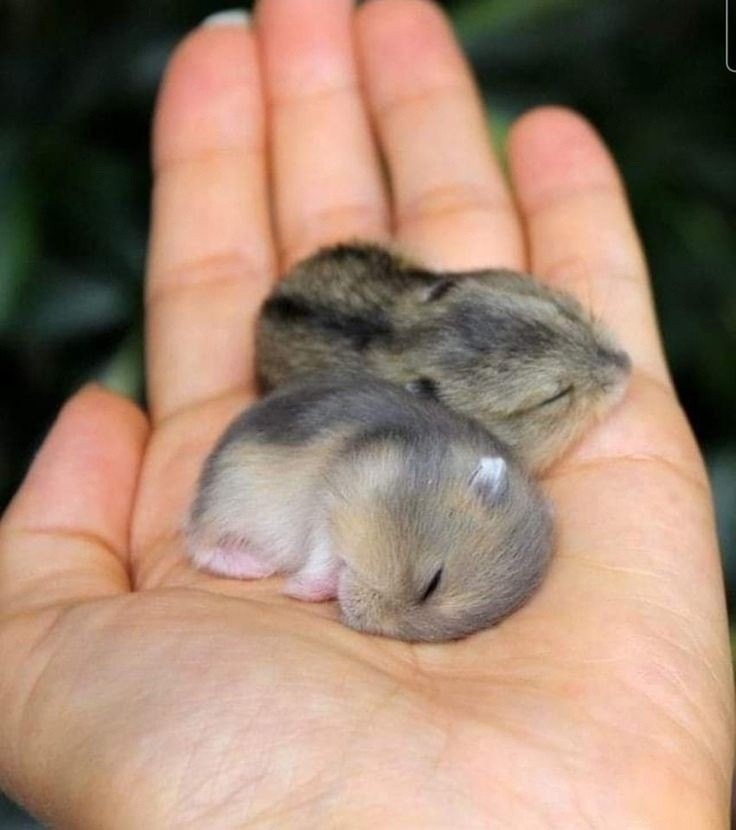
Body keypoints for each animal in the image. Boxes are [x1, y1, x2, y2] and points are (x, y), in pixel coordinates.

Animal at [186, 373, 552, 642]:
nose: (355, 617)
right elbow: (325, 554)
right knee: (202, 545)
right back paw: (255, 566)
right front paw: (295, 588)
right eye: (432, 582)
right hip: (227, 497)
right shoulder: (331, 497)